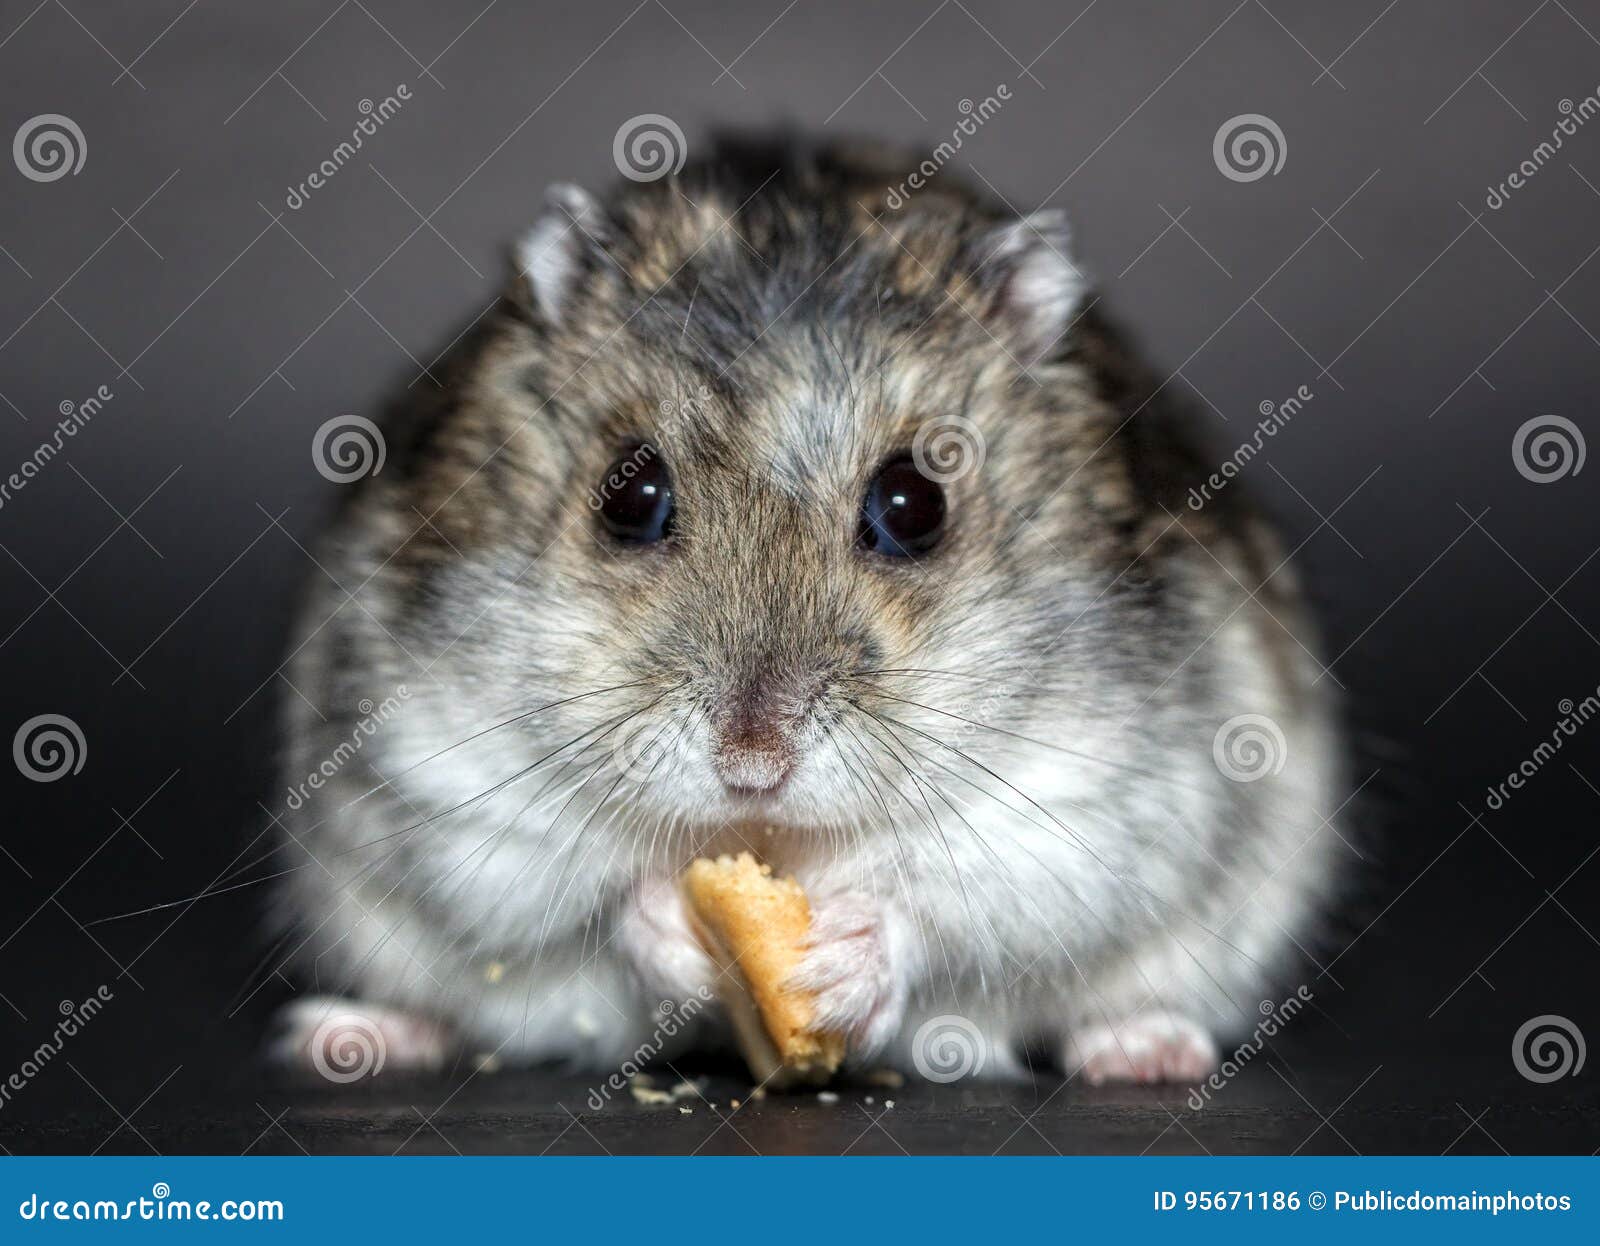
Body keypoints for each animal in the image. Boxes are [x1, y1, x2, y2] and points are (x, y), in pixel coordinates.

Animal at [269, 135, 1346, 1086]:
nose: (753, 766)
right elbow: (582, 894)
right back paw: (348, 1035)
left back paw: (1145, 1052)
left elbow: (957, 901)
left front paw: (840, 961)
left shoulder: (1100, 798)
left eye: (914, 505)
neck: (779, 840)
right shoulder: (443, 777)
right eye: (628, 496)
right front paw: (672, 924)